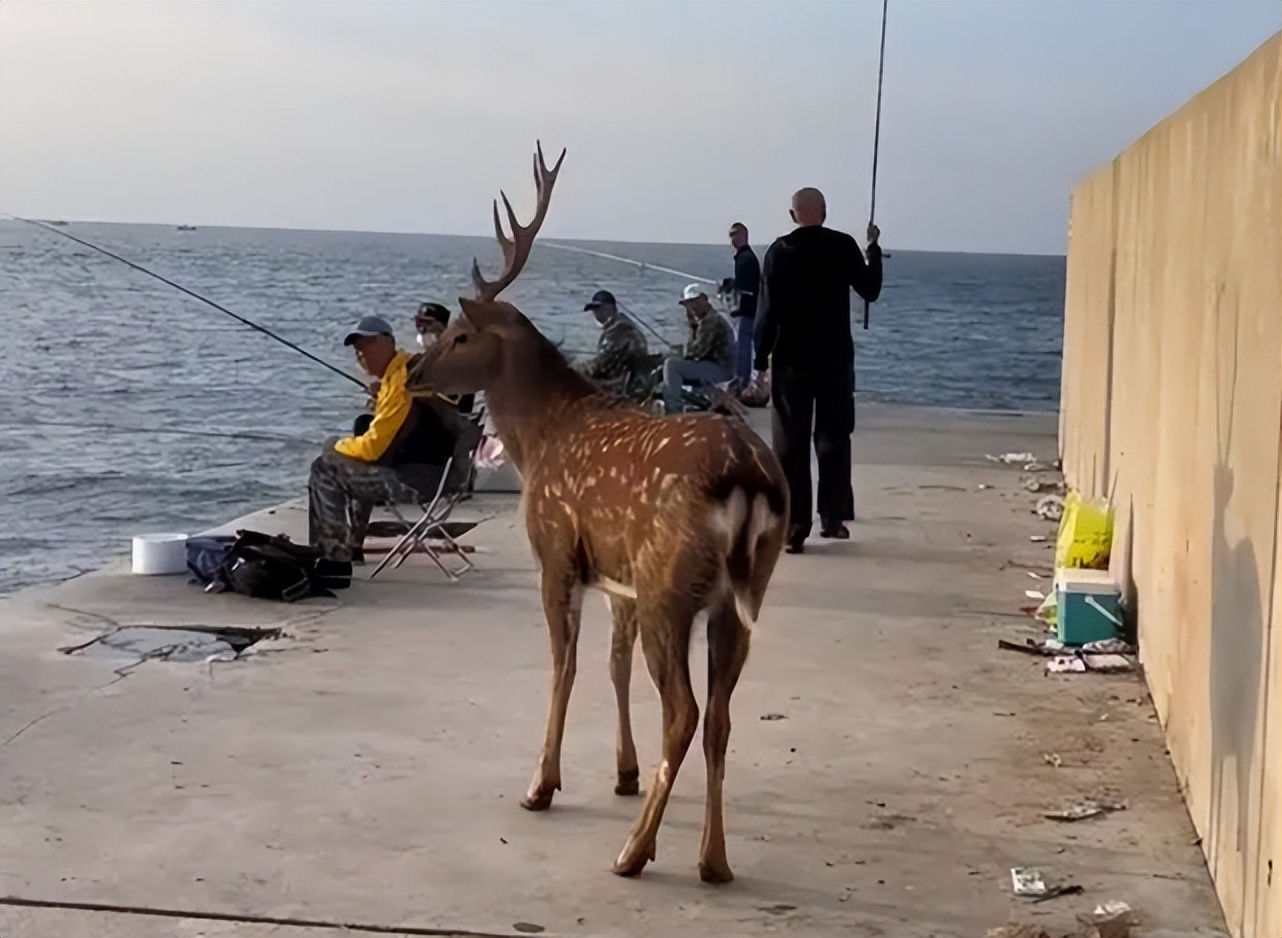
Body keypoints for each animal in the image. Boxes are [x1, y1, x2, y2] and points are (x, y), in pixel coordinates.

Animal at [408, 143, 788, 883]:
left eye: (461, 334)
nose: (410, 373)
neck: (544, 437)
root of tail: (747, 475)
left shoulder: (557, 551)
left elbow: (565, 665)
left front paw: (541, 784)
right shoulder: (620, 581)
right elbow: (614, 665)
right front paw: (623, 772)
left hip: (672, 580)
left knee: (686, 712)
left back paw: (634, 852)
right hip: (743, 590)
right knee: (720, 714)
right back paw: (713, 861)